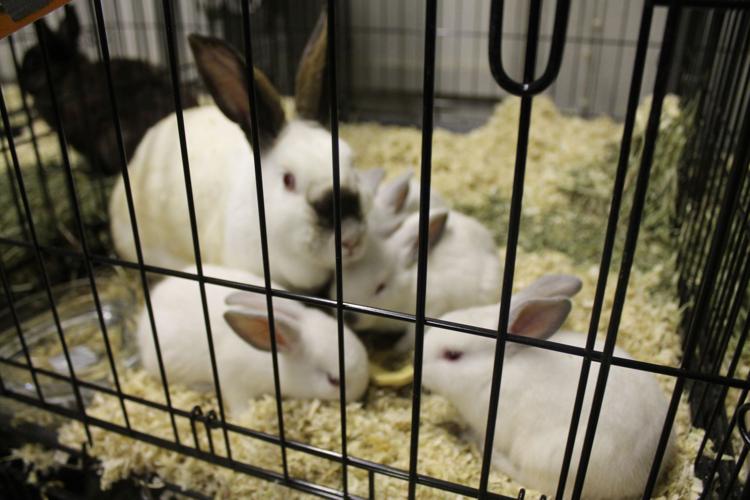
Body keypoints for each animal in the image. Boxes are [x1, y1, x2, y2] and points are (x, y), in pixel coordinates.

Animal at [137, 264, 370, 415]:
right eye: (333, 380)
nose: (361, 393)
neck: (278, 362)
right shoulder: (233, 377)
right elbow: (238, 401)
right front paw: (246, 418)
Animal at [332, 208, 501, 340]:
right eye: (341, 278)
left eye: (381, 287)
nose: (349, 318)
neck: (407, 289)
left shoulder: (433, 307)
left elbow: (409, 339)